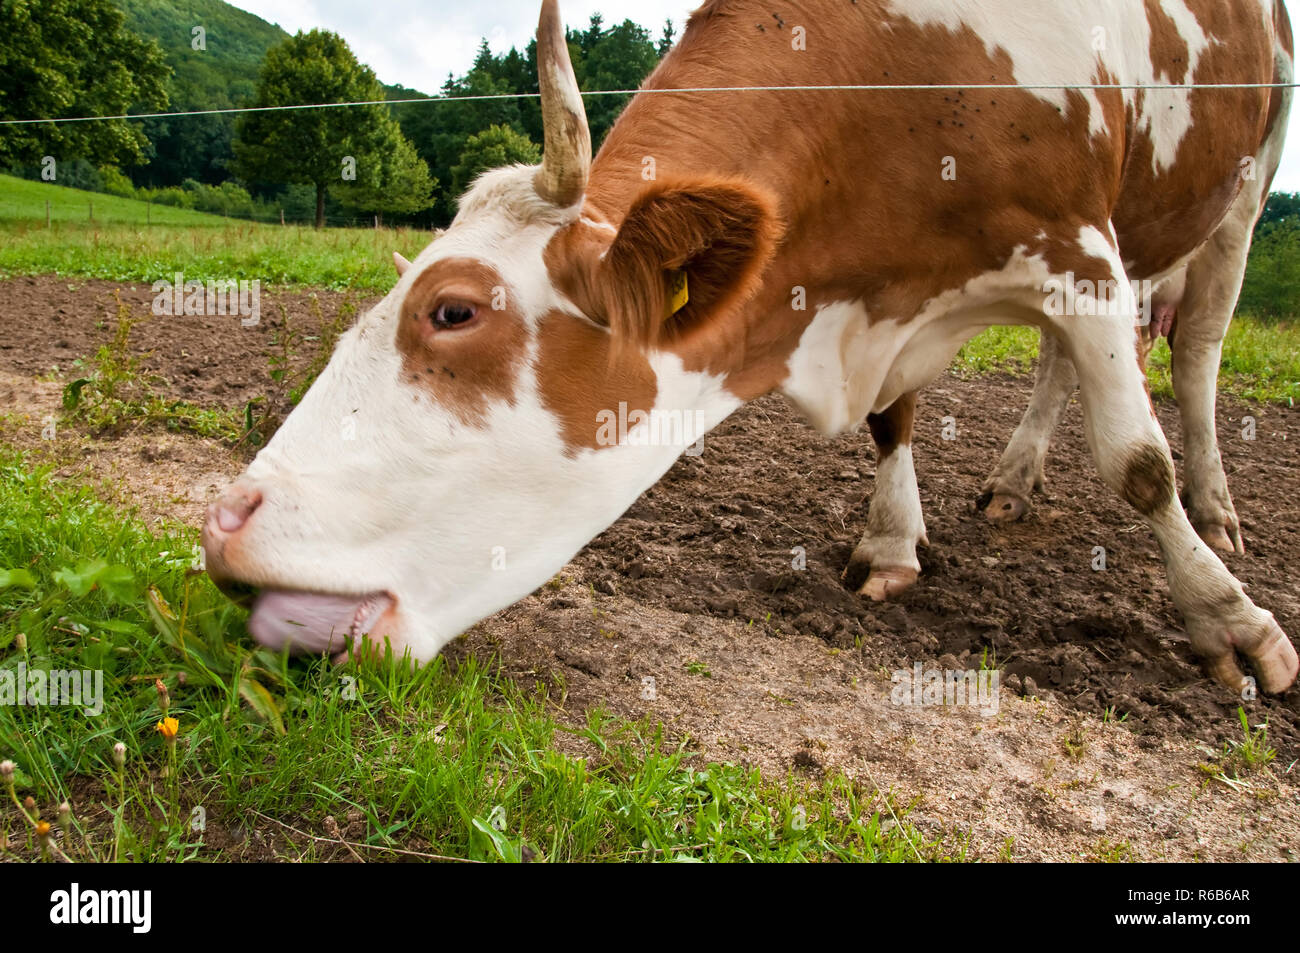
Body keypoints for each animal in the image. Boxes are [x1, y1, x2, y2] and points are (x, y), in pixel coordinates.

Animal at [202, 0, 1299, 695]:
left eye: (454, 311)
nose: (222, 520)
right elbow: (893, 417)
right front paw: (892, 542)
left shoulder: (1077, 247)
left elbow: (1136, 461)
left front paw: (1228, 619)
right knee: (1061, 365)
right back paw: (1015, 477)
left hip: (1240, 196)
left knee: (1196, 355)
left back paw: (1217, 506)